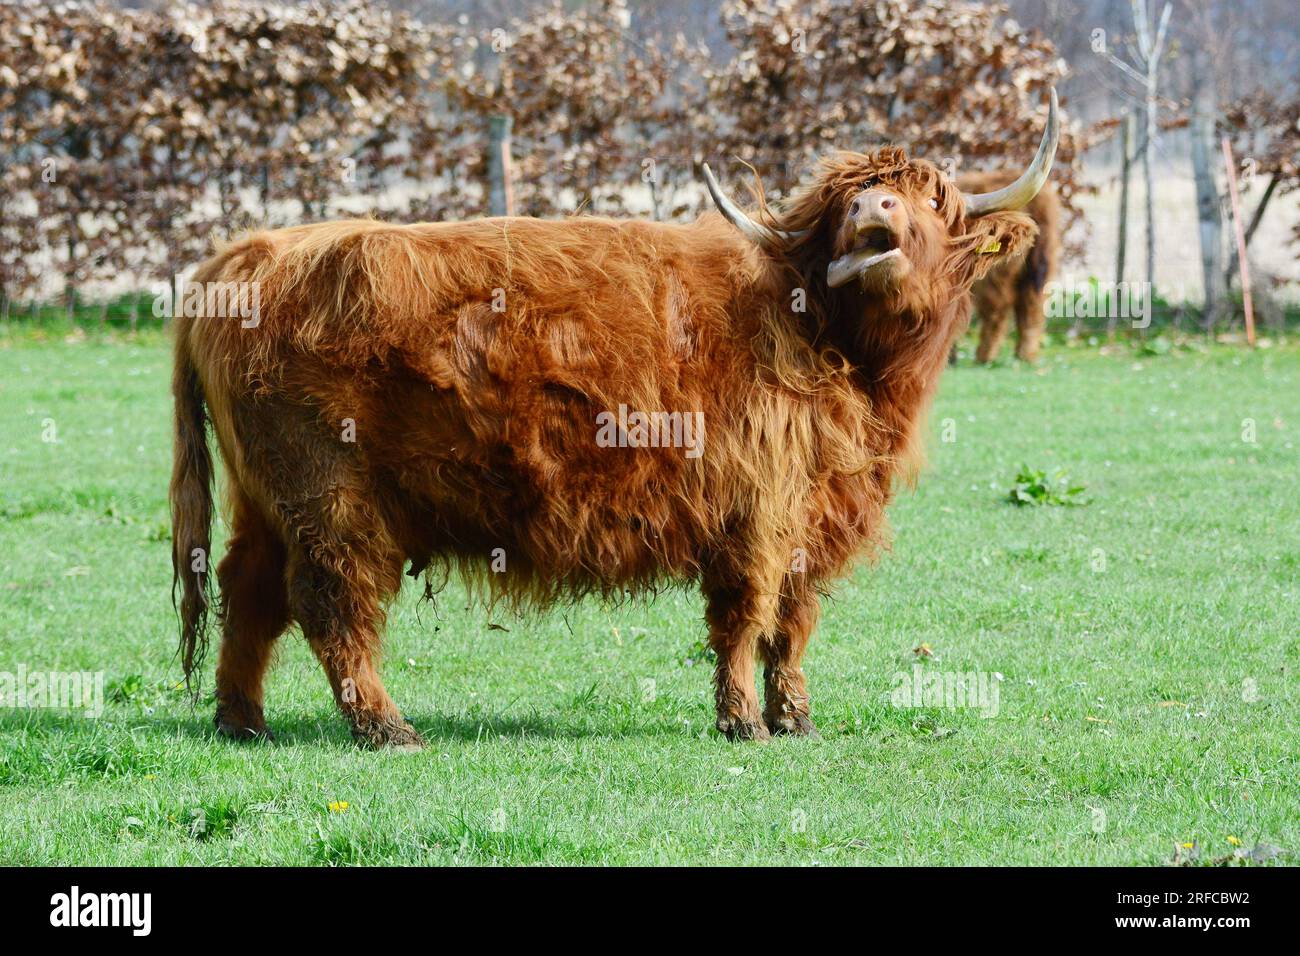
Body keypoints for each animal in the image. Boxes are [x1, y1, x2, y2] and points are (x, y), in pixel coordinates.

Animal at [959, 169, 1061, 363]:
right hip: (1040, 267)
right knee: (1032, 305)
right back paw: (1025, 354)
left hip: (995, 276)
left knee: (997, 310)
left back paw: (985, 355)